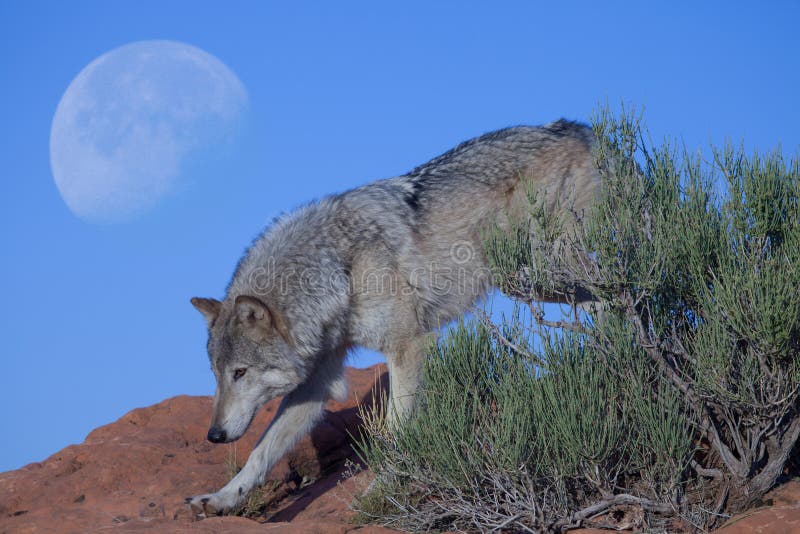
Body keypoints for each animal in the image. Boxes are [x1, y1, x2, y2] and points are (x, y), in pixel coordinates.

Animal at [186, 119, 601, 516]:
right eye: (217, 374)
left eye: (240, 373)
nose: (213, 436)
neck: (340, 267)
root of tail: (572, 127)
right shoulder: (320, 381)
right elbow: (261, 451)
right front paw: (222, 498)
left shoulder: (408, 347)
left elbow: (394, 433)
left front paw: (383, 491)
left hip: (540, 272)